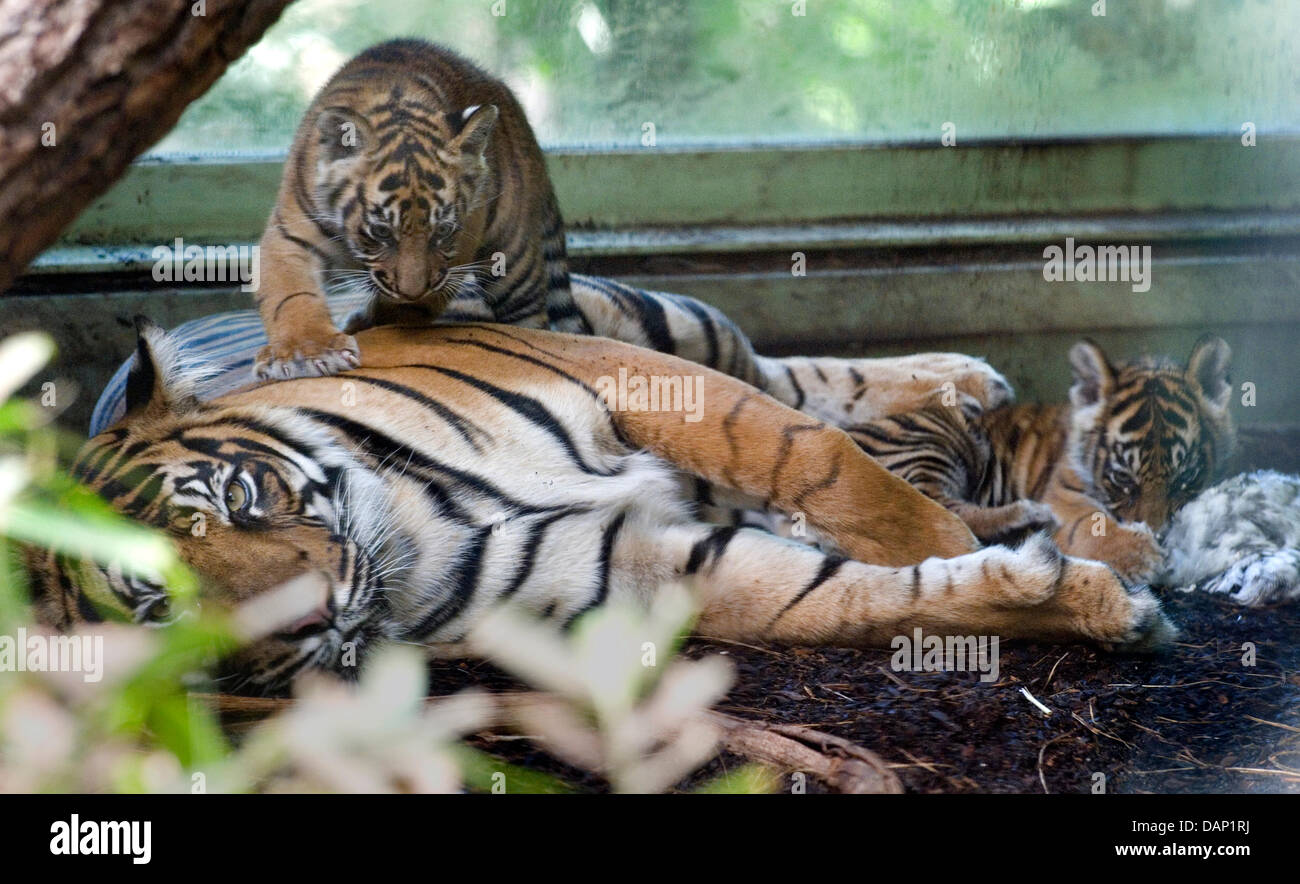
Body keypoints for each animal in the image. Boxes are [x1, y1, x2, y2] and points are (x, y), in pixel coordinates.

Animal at [28, 320, 1173, 693]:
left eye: (238, 495)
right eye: (167, 616)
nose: (315, 612)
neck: (414, 524)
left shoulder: (626, 375)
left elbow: (815, 457)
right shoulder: (635, 567)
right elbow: (855, 600)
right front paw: (1087, 606)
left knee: (792, 376)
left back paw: (973, 386)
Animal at [252, 38, 586, 381]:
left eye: (443, 231)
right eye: (381, 231)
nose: (411, 292)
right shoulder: (291, 235)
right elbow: (291, 295)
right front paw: (305, 353)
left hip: (515, 262)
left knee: (532, 318)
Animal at [843, 336, 1235, 584]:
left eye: (1185, 480)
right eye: (1123, 479)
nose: (1158, 535)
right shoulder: (1062, 495)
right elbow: (1089, 525)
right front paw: (1141, 554)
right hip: (931, 442)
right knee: (941, 510)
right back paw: (1026, 516)